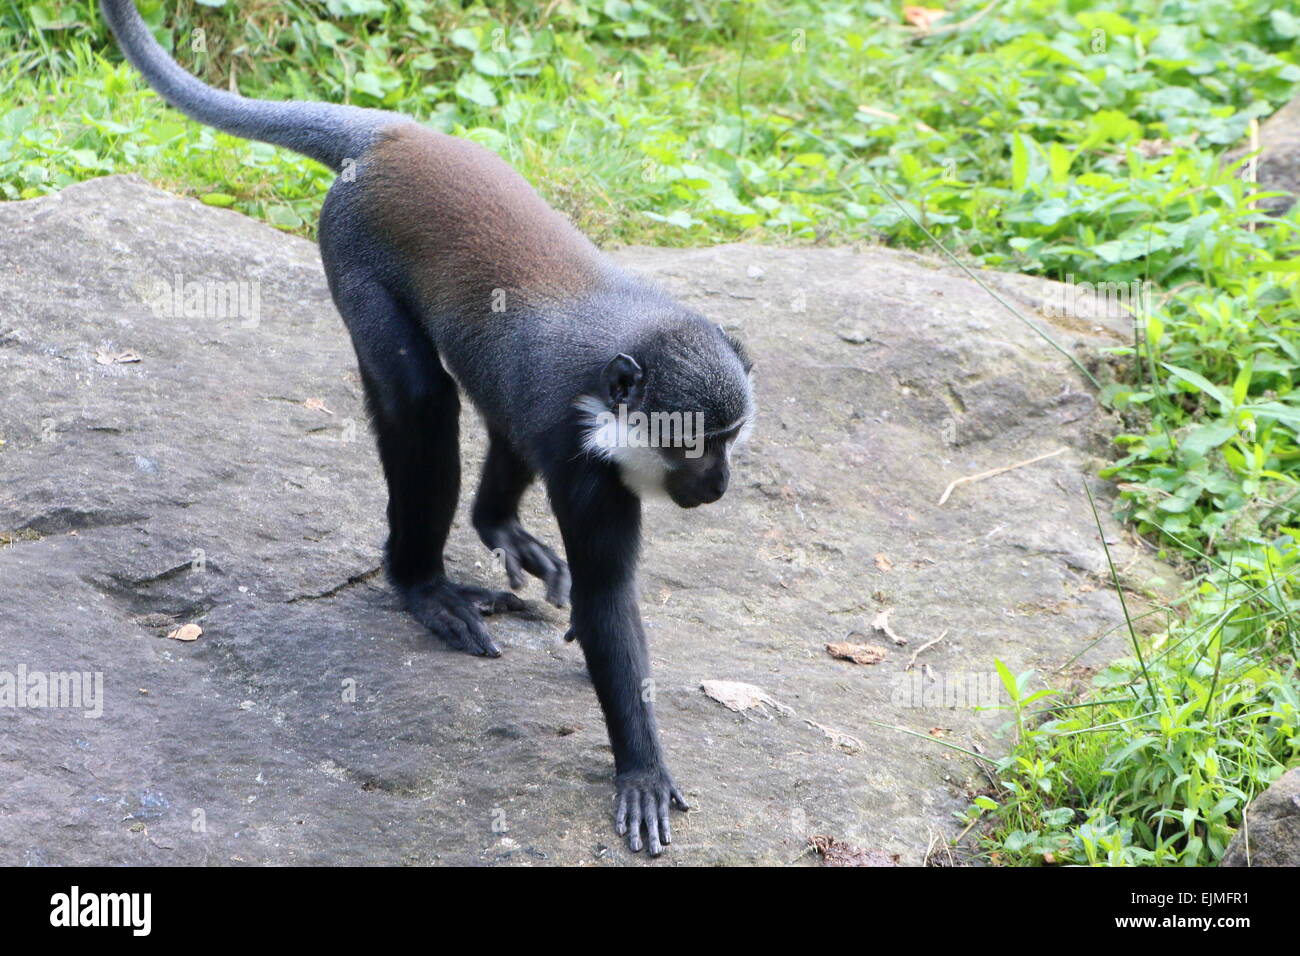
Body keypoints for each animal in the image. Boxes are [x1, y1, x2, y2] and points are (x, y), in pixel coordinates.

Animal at [100, 1, 755, 856]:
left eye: (731, 438)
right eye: (690, 445)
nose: (718, 485)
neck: (627, 355)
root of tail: (393, 135)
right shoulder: (583, 463)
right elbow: (609, 600)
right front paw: (641, 768)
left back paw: (492, 523)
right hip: (349, 251)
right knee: (420, 401)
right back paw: (421, 584)